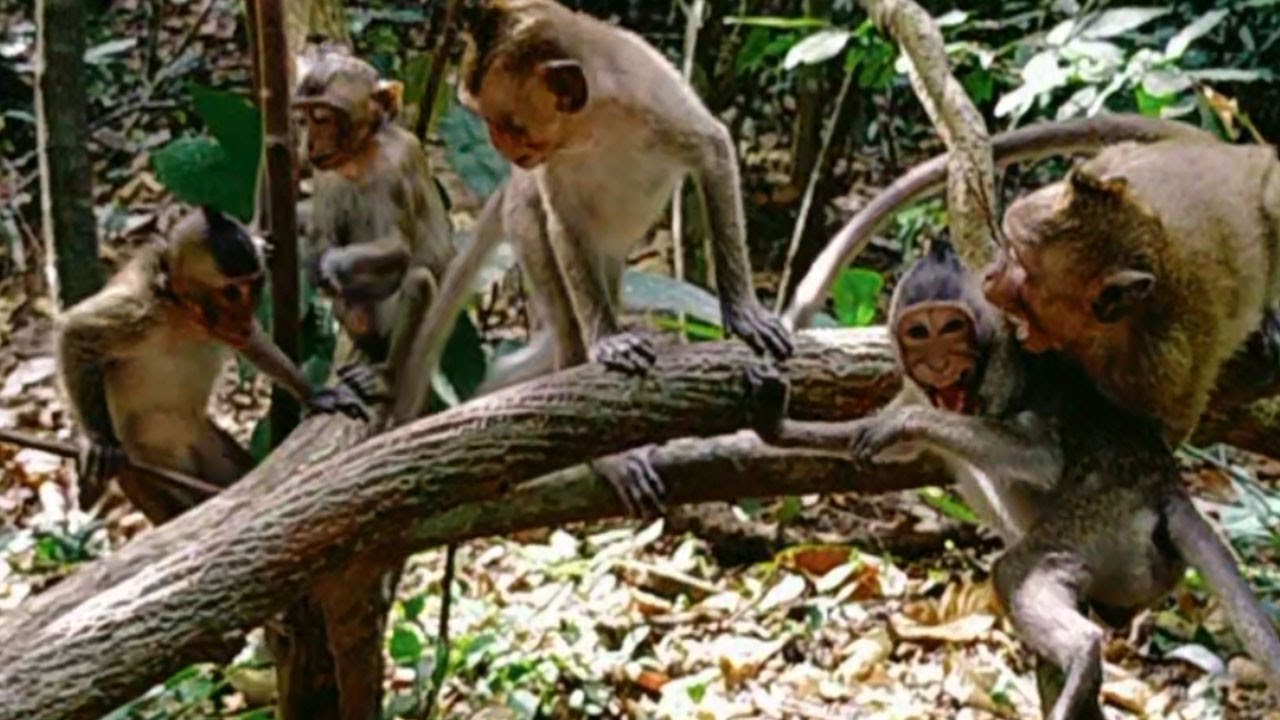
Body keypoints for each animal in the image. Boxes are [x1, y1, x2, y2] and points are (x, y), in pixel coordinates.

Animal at [56, 206, 375, 523]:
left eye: (254, 285)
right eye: (231, 292)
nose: (244, 317)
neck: (182, 314)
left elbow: (251, 341)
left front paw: (314, 392)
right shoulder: (140, 310)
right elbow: (74, 333)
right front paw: (98, 442)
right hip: (141, 473)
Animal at [292, 46, 455, 380]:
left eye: (322, 117)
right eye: (303, 119)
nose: (309, 144)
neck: (360, 154)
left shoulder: (394, 167)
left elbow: (397, 246)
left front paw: (331, 265)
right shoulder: (325, 173)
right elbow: (317, 227)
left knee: (418, 281)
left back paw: (386, 373)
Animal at [389, 0, 793, 428]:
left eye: (506, 124)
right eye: (486, 121)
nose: (498, 146)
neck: (594, 122)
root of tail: (511, 185)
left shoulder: (655, 99)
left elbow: (714, 152)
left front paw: (743, 313)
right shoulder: (553, 165)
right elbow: (565, 223)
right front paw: (608, 340)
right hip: (524, 221)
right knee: (562, 313)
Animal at [740, 241, 1280, 718]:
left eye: (951, 327)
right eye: (918, 332)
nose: (938, 361)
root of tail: (1163, 484)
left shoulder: (1008, 367)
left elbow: (1039, 455)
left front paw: (905, 425)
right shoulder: (916, 385)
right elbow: (876, 438)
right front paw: (775, 425)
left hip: (1099, 519)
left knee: (1019, 567)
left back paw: (1081, 655)